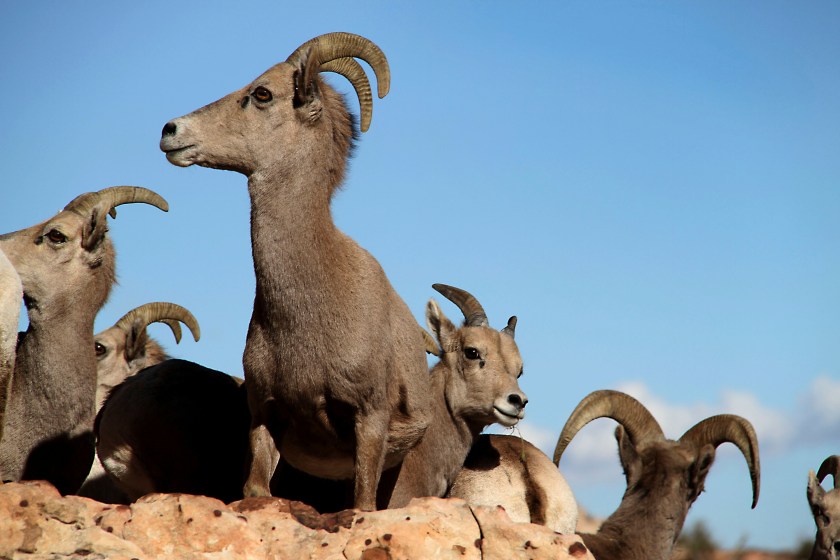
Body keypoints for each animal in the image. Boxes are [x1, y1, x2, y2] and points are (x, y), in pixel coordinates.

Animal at [160, 32, 433, 510]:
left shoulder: (370, 420)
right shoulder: (266, 414)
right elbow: (254, 489)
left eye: (262, 94)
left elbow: (361, 505)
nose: (171, 131)